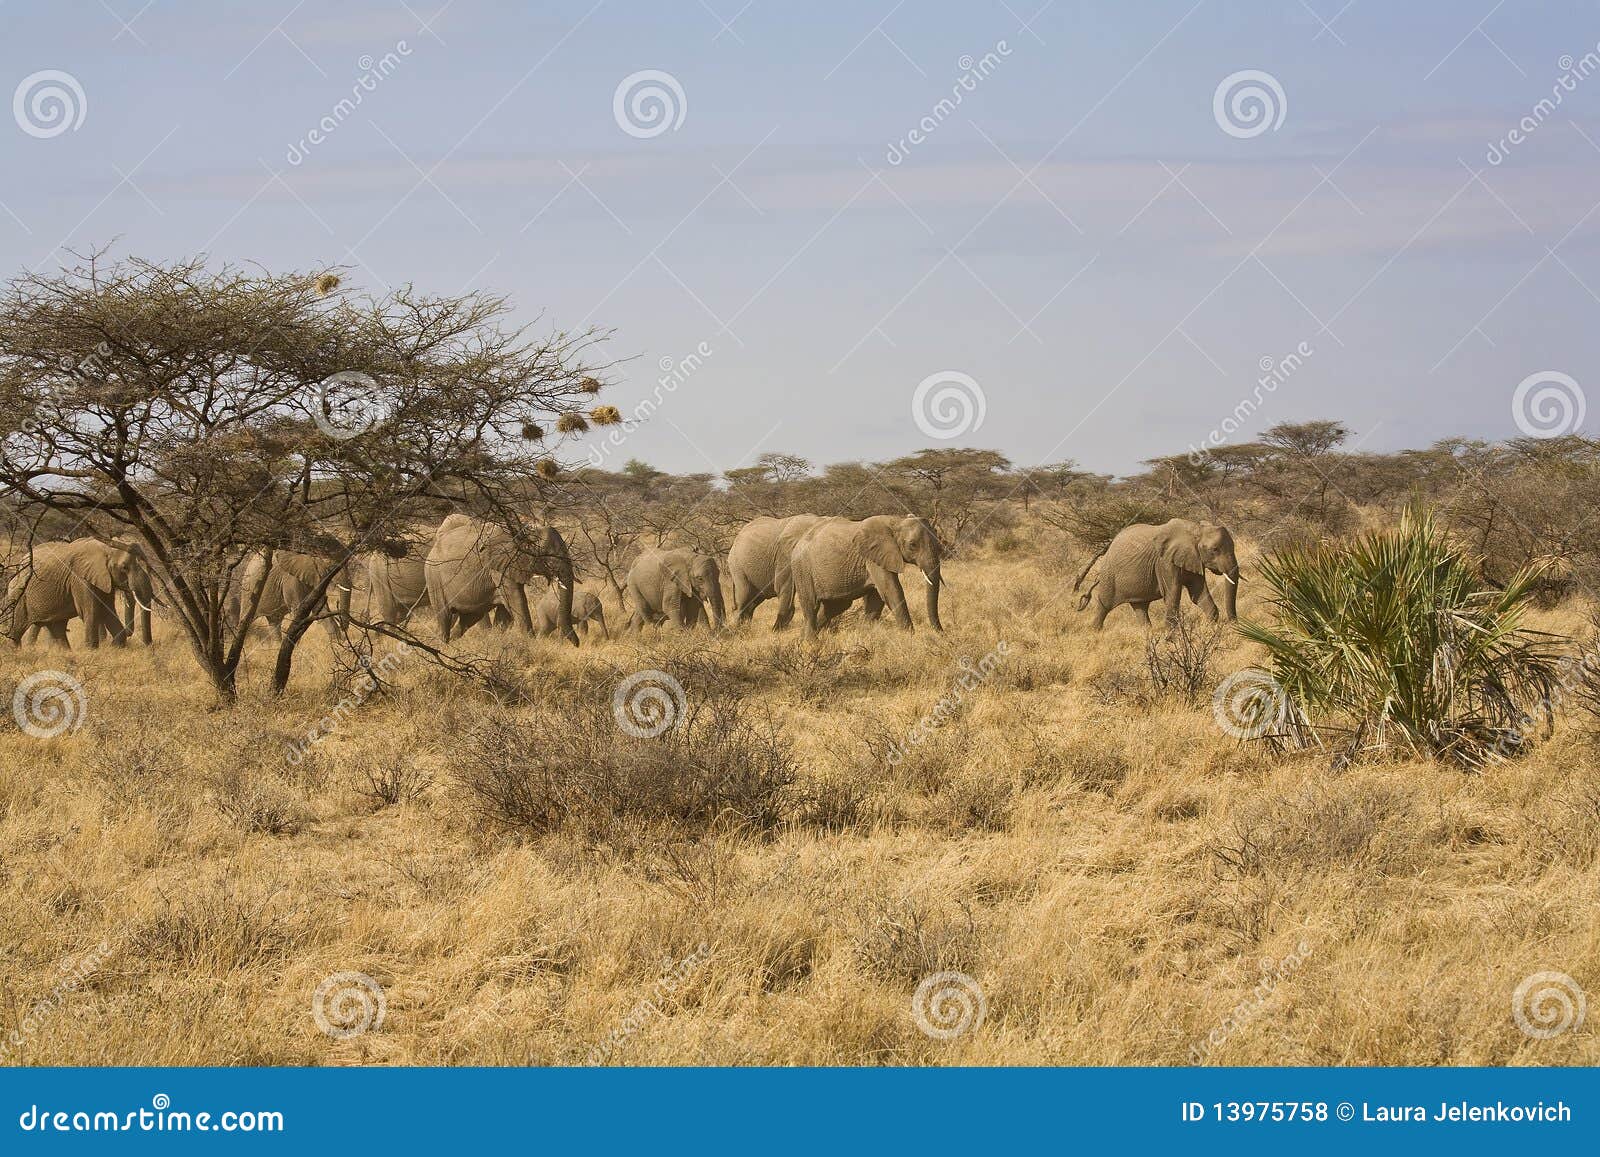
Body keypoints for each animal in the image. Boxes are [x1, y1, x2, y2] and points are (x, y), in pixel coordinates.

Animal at [6, 537, 155, 649]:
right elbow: (91, 612)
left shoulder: (104, 580)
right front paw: (91, 651)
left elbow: (107, 610)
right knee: (16, 629)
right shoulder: (80, 578)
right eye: (124, 567)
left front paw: (115, 647)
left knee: (57, 627)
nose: (149, 647)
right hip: (19, 592)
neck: (106, 548)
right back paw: (14, 653)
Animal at [424, 512, 578, 645]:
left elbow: (506, 609)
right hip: (434, 577)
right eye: (548, 558)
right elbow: (516, 599)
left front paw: (498, 638)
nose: (577, 644)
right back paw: (442, 644)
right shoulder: (498, 563)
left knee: (470, 618)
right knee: (444, 616)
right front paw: (530, 643)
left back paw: (450, 643)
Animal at [788, 515, 942, 638]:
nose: (941, 632)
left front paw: (866, 634)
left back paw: (801, 641)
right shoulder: (873, 557)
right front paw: (909, 637)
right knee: (811, 606)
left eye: (939, 545)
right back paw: (810, 642)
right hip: (802, 568)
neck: (896, 521)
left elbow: (877, 599)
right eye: (912, 545)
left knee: (835, 607)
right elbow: (891, 591)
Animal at [1073, 518, 1239, 630]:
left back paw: (1147, 631)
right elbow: (1172, 594)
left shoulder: (1193, 559)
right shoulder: (1164, 562)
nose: (1234, 623)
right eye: (1215, 550)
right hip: (1109, 573)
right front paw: (1171, 637)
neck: (1196, 529)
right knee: (1104, 604)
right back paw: (1096, 630)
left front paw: (1212, 627)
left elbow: (1197, 593)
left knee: (1140, 606)